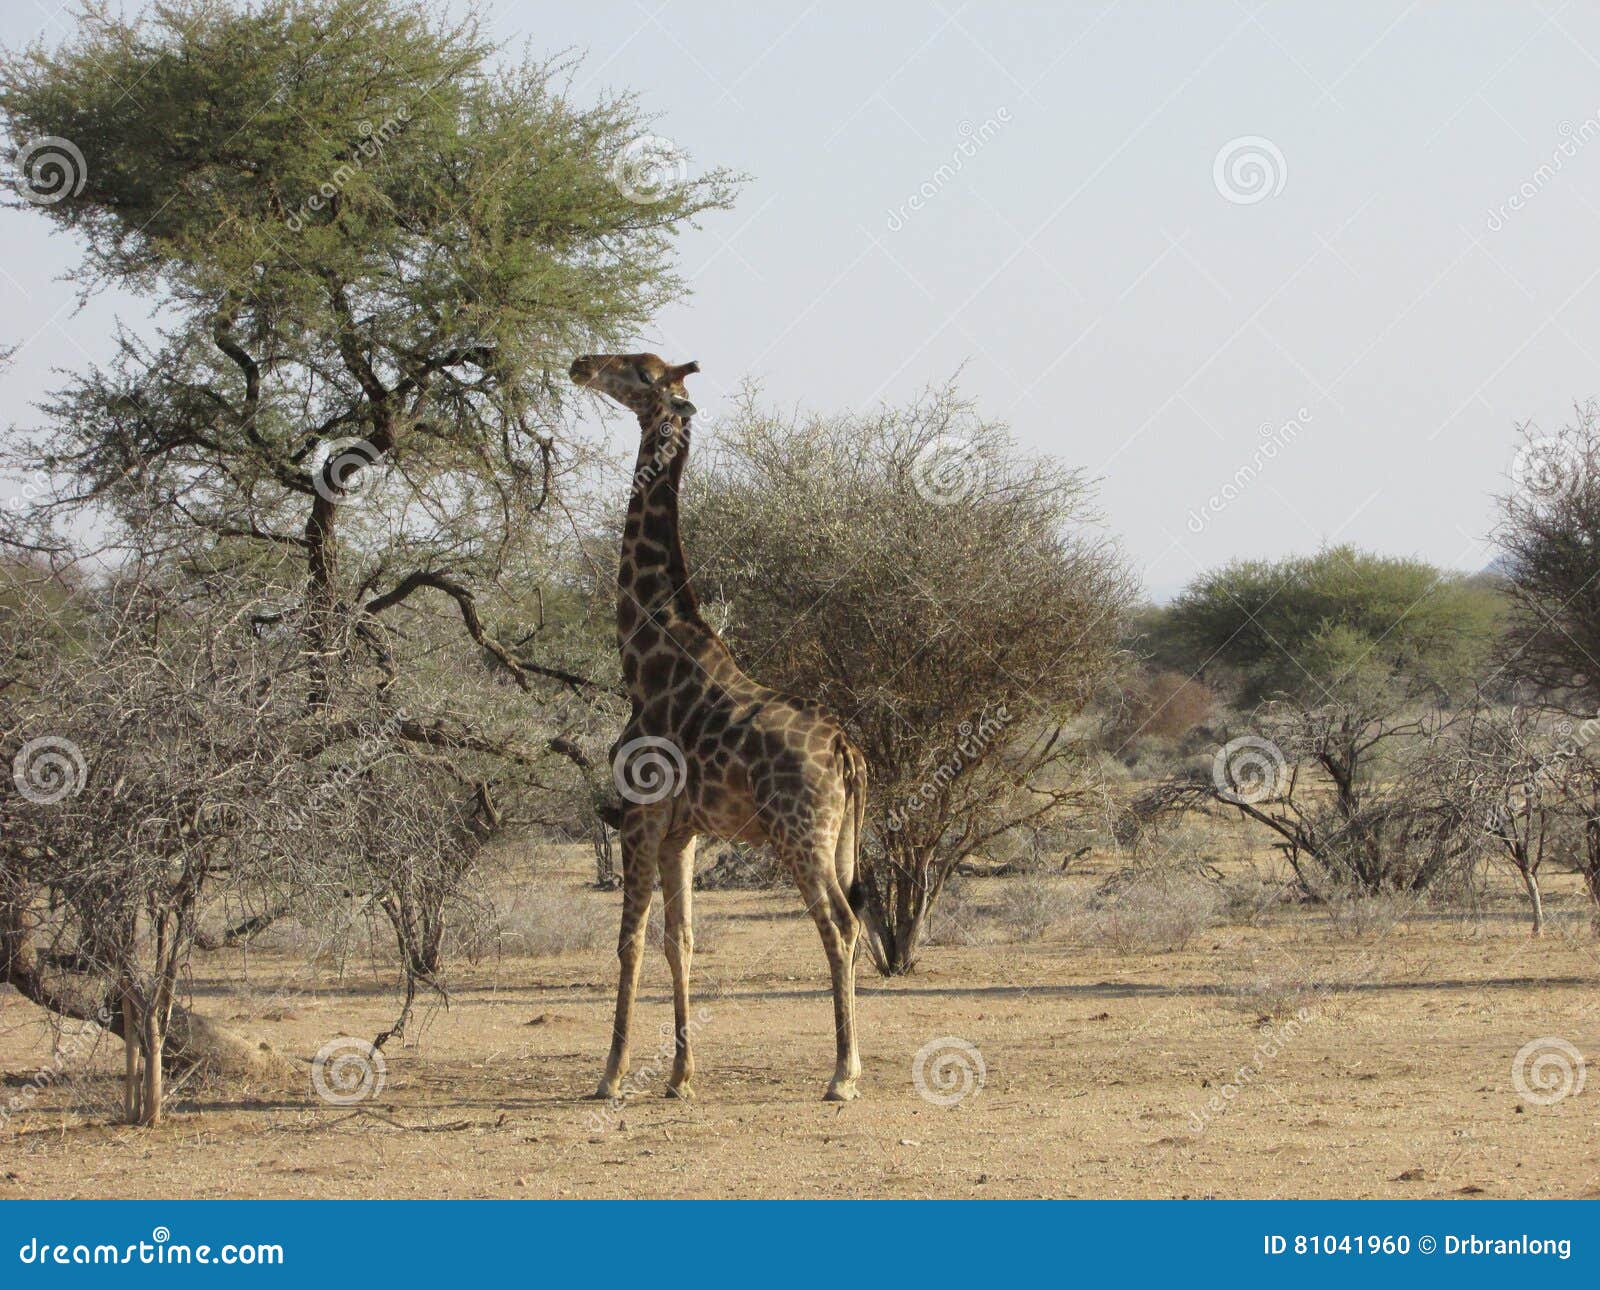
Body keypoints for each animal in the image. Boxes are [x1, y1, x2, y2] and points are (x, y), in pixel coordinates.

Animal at [569, 351, 869, 1102]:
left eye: (636, 371)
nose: (580, 363)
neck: (644, 658)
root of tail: (848, 751)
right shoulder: (683, 830)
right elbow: (680, 942)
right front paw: (680, 1076)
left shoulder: (641, 817)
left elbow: (629, 942)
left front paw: (611, 1075)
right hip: (836, 838)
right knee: (853, 920)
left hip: (800, 834)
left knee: (841, 925)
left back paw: (842, 1073)